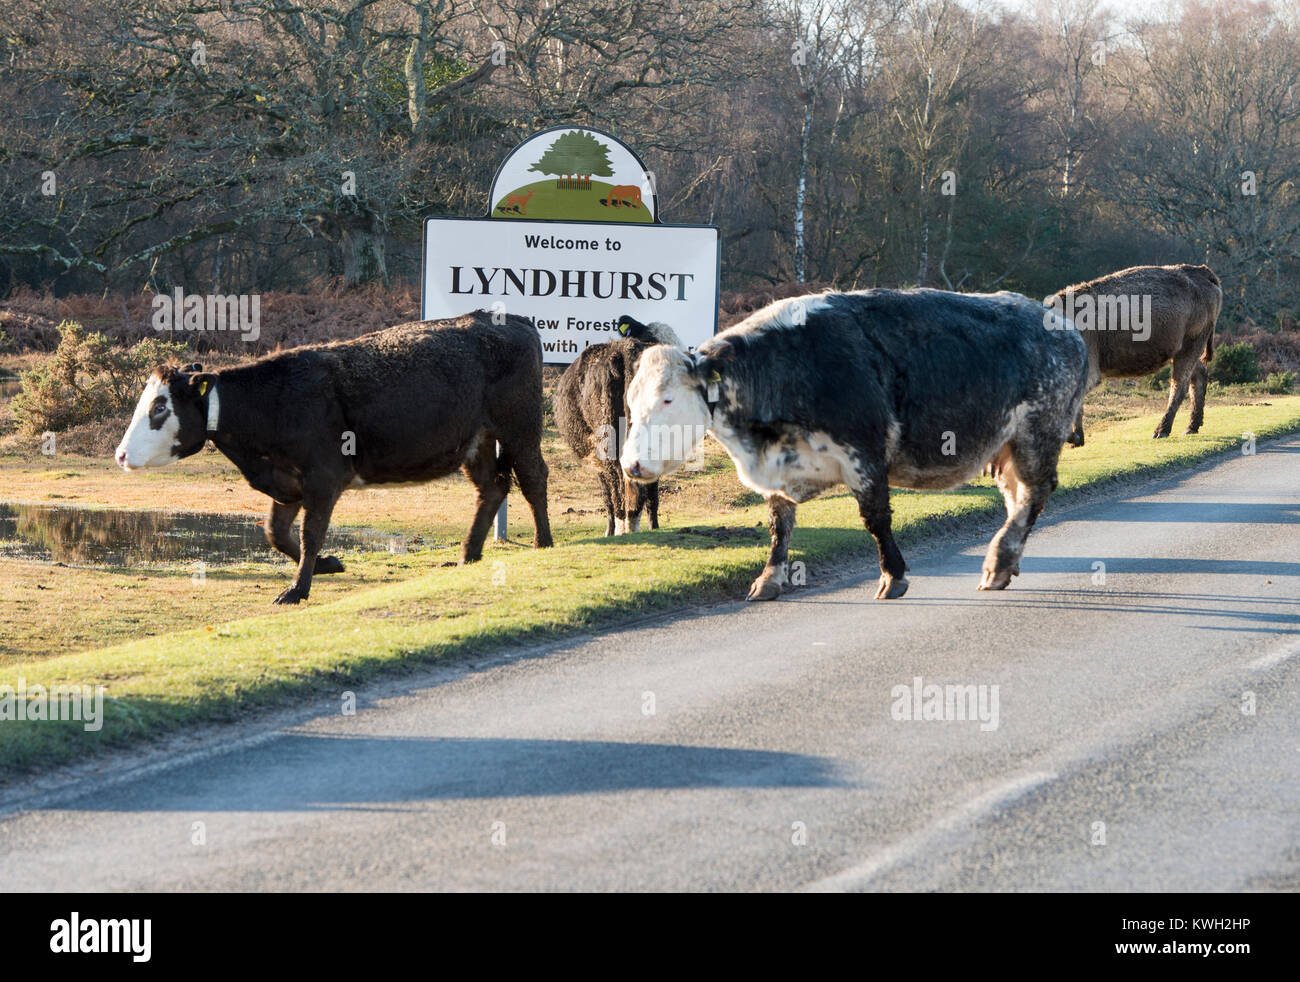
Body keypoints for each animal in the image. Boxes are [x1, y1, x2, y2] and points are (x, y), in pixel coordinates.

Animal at [115, 312, 553, 604]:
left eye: (159, 406)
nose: (120, 454)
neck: (277, 402)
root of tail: (511, 319)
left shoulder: (323, 479)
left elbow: (309, 534)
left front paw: (297, 588)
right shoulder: (288, 484)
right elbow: (275, 533)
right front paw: (327, 564)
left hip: (520, 426)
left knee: (533, 477)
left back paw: (543, 543)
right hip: (477, 441)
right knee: (492, 488)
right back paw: (467, 555)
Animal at [619, 289, 1088, 600]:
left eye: (667, 399)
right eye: (631, 400)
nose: (631, 465)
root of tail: (1063, 327)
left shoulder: (864, 456)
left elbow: (876, 520)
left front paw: (892, 576)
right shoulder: (777, 473)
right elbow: (779, 527)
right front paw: (769, 578)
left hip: (1037, 434)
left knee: (1034, 493)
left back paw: (997, 561)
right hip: (1007, 448)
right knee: (1017, 498)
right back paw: (1005, 563)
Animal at [1048, 263, 1221, 443]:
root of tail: (1199, 270)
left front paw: (1072, 436)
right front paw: (1076, 436)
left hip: (1190, 347)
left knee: (1179, 385)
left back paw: (1162, 430)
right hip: (1185, 351)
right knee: (1198, 375)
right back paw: (1191, 427)